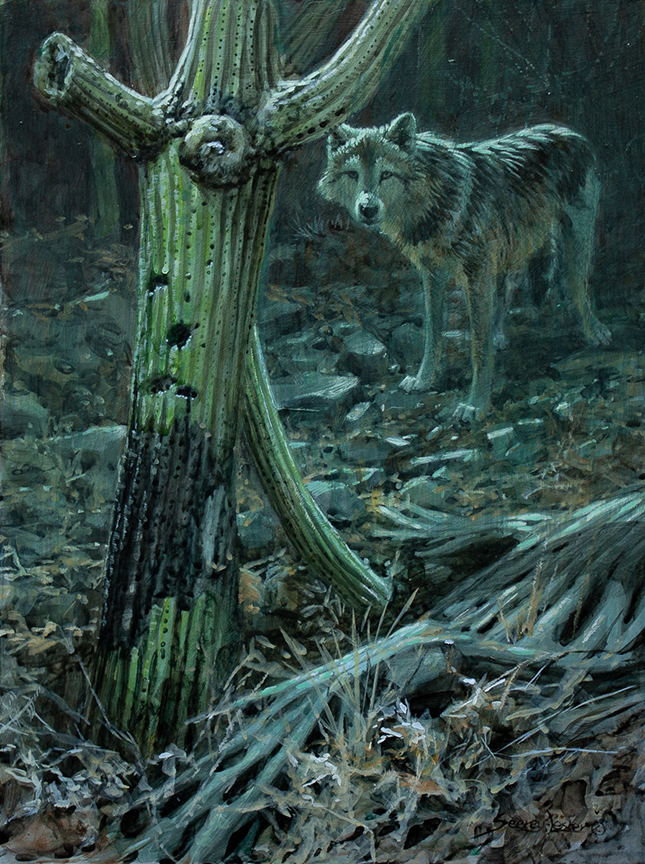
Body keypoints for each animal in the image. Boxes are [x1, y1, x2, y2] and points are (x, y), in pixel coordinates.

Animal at [318, 113, 611, 421]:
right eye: (353, 174)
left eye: (386, 174)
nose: (368, 209)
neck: (433, 199)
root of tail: (566, 131)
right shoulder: (432, 274)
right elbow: (432, 334)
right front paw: (423, 380)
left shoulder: (476, 272)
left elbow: (478, 350)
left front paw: (475, 405)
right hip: (507, 253)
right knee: (506, 292)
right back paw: (499, 336)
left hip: (575, 241)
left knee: (578, 287)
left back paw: (595, 332)